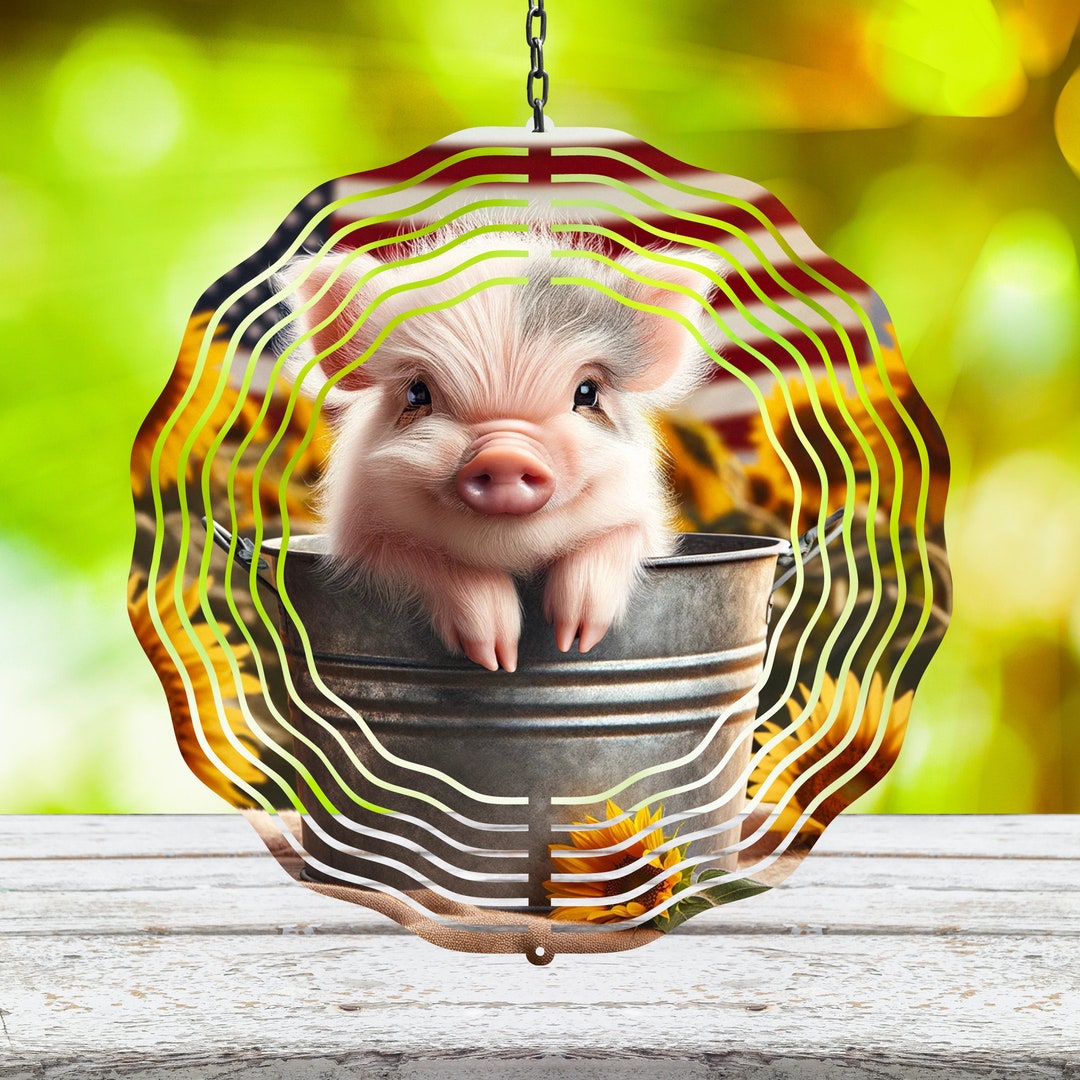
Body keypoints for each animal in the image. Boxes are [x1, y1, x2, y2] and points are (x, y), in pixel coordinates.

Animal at [275, 214, 721, 672]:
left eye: (587, 392)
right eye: (417, 393)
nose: (505, 453)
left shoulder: (645, 523)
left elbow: (615, 538)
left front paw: (574, 641)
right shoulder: (361, 541)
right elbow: (424, 555)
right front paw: (498, 659)